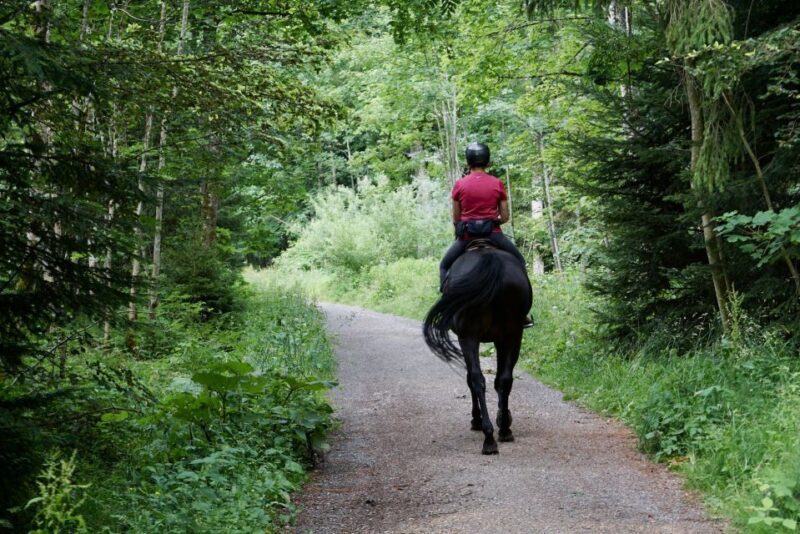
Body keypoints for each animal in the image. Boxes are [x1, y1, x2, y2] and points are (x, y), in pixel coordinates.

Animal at [423, 243, 532, 455]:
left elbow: (471, 378)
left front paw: (478, 419)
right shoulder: (504, 338)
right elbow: (500, 379)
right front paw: (502, 417)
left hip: (469, 336)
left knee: (476, 379)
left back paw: (488, 434)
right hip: (512, 334)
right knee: (503, 379)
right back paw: (502, 431)